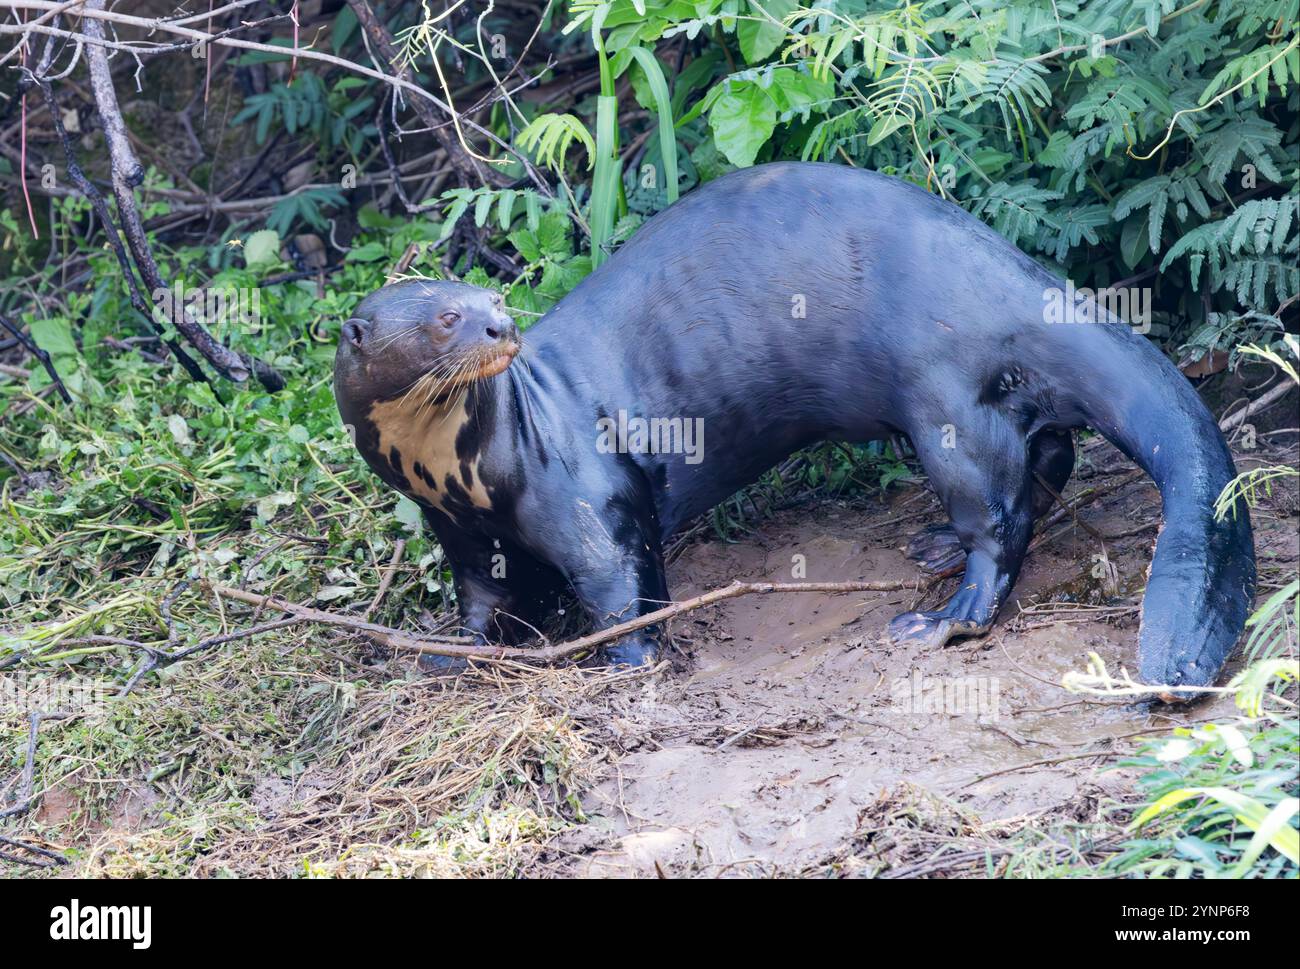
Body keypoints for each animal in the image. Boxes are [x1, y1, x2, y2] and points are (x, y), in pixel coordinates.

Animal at [334, 162, 1255, 692]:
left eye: (490, 302)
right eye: (447, 317)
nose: (501, 329)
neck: (470, 473)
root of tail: (1011, 275)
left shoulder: (591, 497)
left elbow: (621, 584)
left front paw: (626, 662)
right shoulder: (460, 532)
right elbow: (485, 603)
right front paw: (448, 654)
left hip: (942, 402)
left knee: (1002, 518)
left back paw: (944, 614)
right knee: (1049, 451)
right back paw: (932, 546)